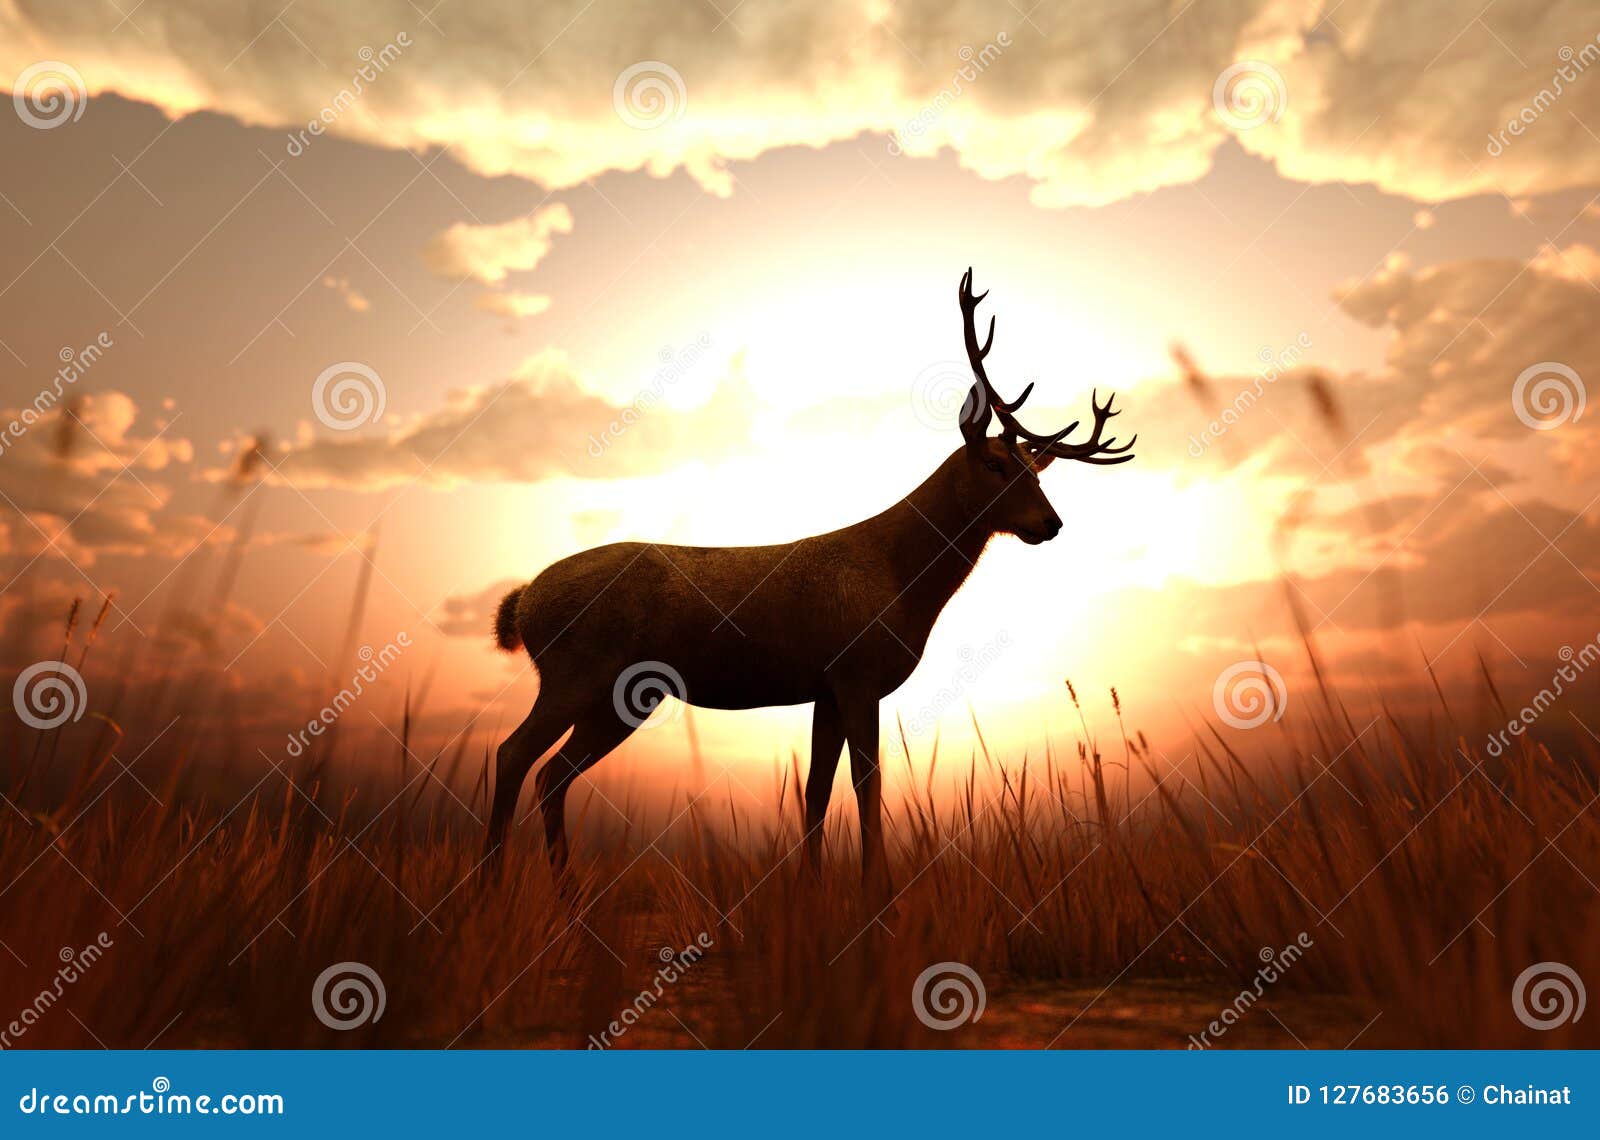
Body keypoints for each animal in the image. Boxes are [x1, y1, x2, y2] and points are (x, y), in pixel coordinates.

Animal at [486, 269, 1135, 893]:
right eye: (996, 465)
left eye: (1036, 472)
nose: (1050, 524)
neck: (902, 583)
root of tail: (522, 606)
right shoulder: (857, 673)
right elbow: (867, 782)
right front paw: (879, 891)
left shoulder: (824, 687)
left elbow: (817, 788)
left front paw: (812, 892)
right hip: (578, 670)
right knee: (514, 752)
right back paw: (492, 887)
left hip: (619, 697)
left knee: (552, 773)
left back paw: (567, 895)